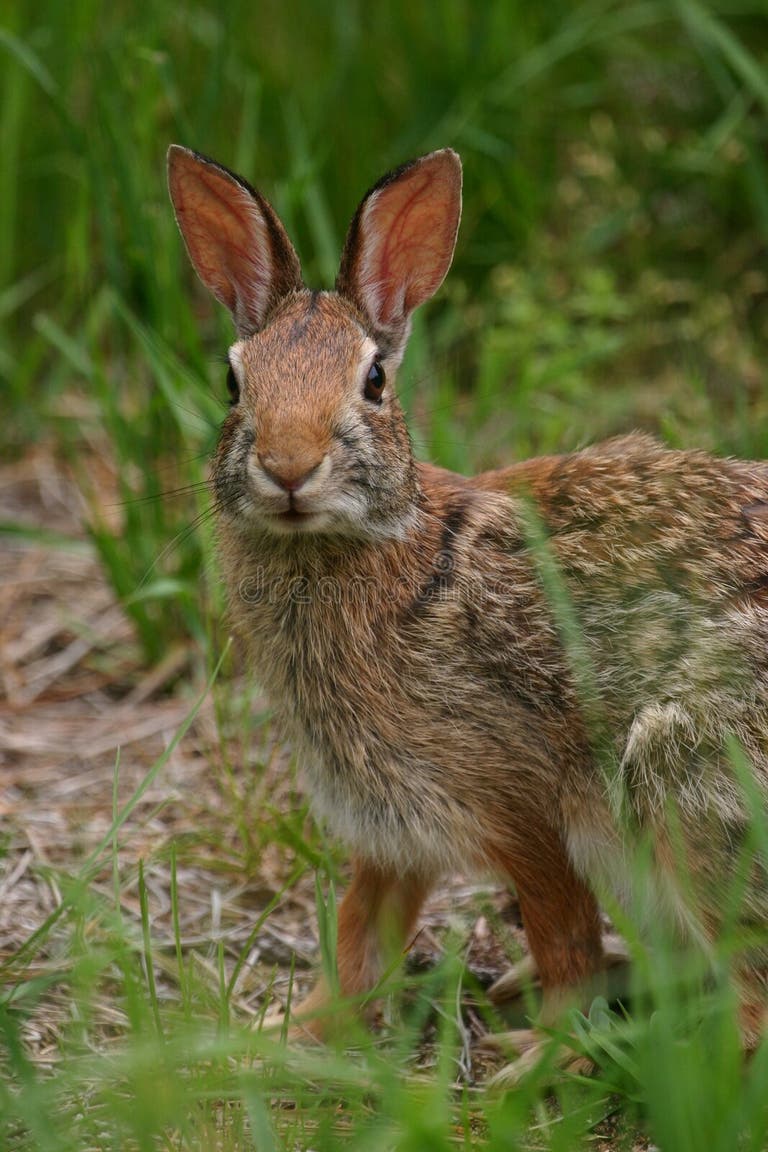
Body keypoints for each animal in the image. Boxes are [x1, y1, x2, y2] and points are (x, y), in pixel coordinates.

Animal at [167, 143, 768, 1062]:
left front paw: (539, 1058)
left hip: (689, 789)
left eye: (375, 379)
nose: (289, 467)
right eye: (233, 382)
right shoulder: (391, 830)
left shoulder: (525, 813)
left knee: (750, 1007)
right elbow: (360, 935)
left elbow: (564, 942)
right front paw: (286, 1031)